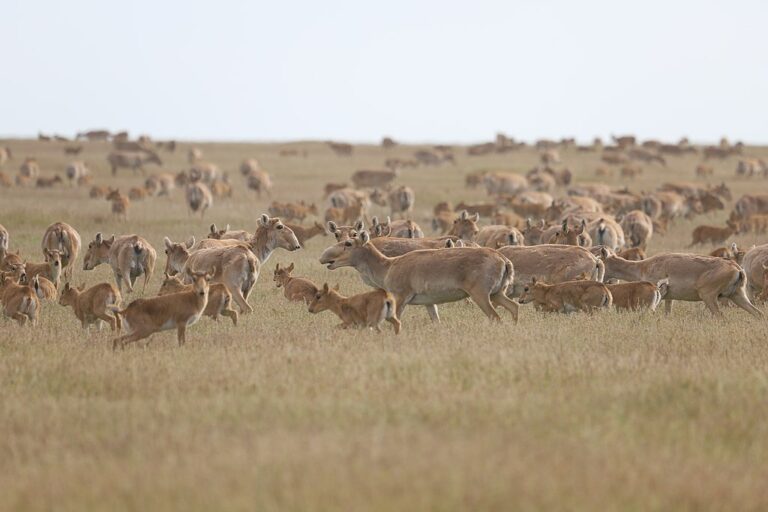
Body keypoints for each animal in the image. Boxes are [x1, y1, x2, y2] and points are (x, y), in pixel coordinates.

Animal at [604, 253, 762, 316]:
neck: (643, 266)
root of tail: (737, 268)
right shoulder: (669, 298)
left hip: (709, 297)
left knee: (720, 316)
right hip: (738, 296)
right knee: (758, 313)